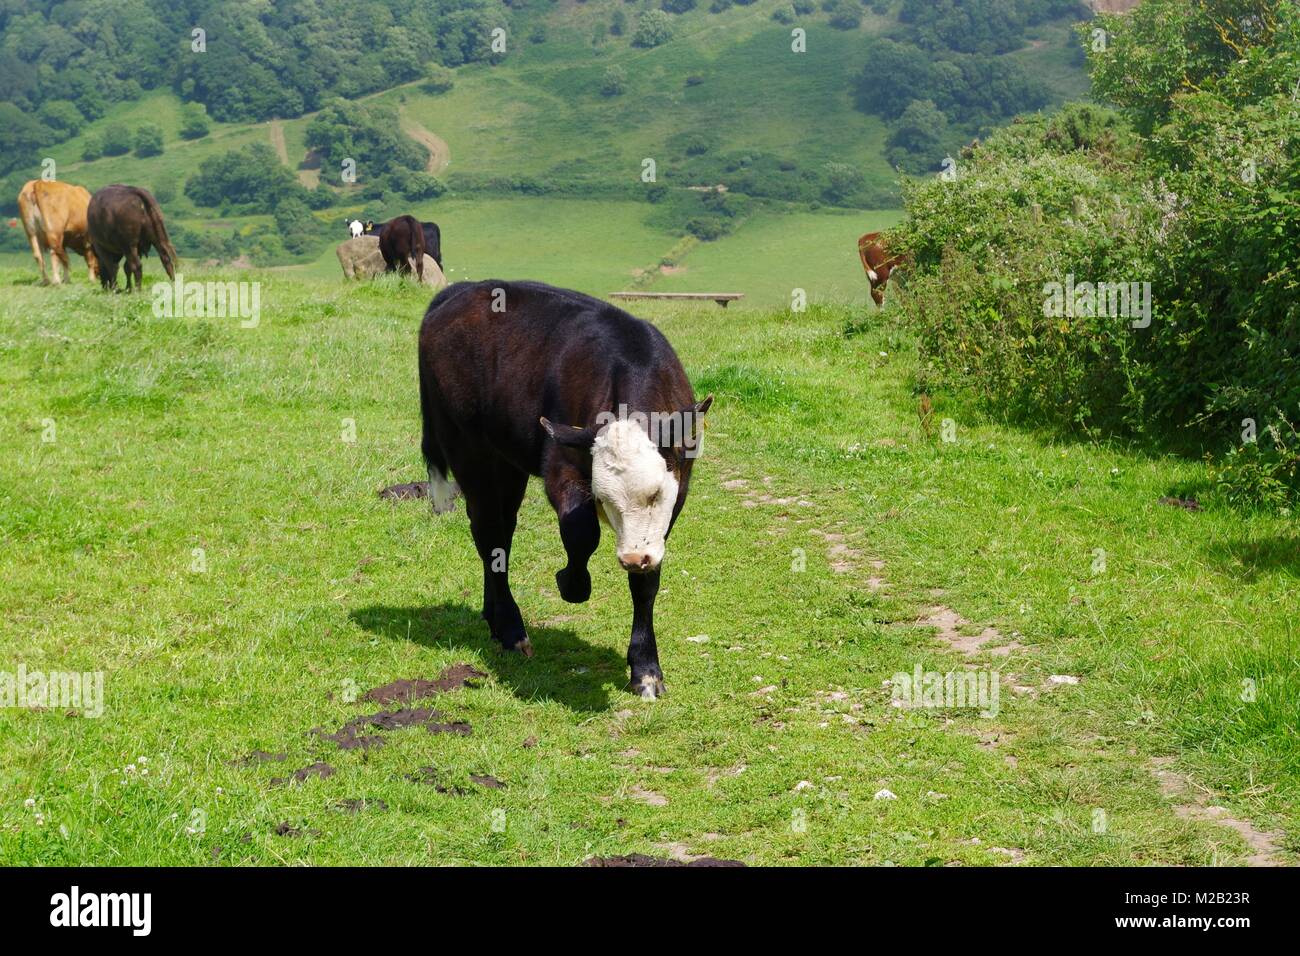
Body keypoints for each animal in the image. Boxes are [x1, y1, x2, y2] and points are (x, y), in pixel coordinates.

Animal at [418, 280, 713, 699]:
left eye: (657, 493)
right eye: (604, 498)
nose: (632, 558)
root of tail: (461, 291)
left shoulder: (675, 498)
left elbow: (646, 584)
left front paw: (646, 670)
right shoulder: (560, 466)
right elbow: (580, 533)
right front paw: (571, 583)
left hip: (506, 462)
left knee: (501, 534)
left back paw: (495, 619)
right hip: (469, 451)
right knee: (488, 532)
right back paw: (511, 630)